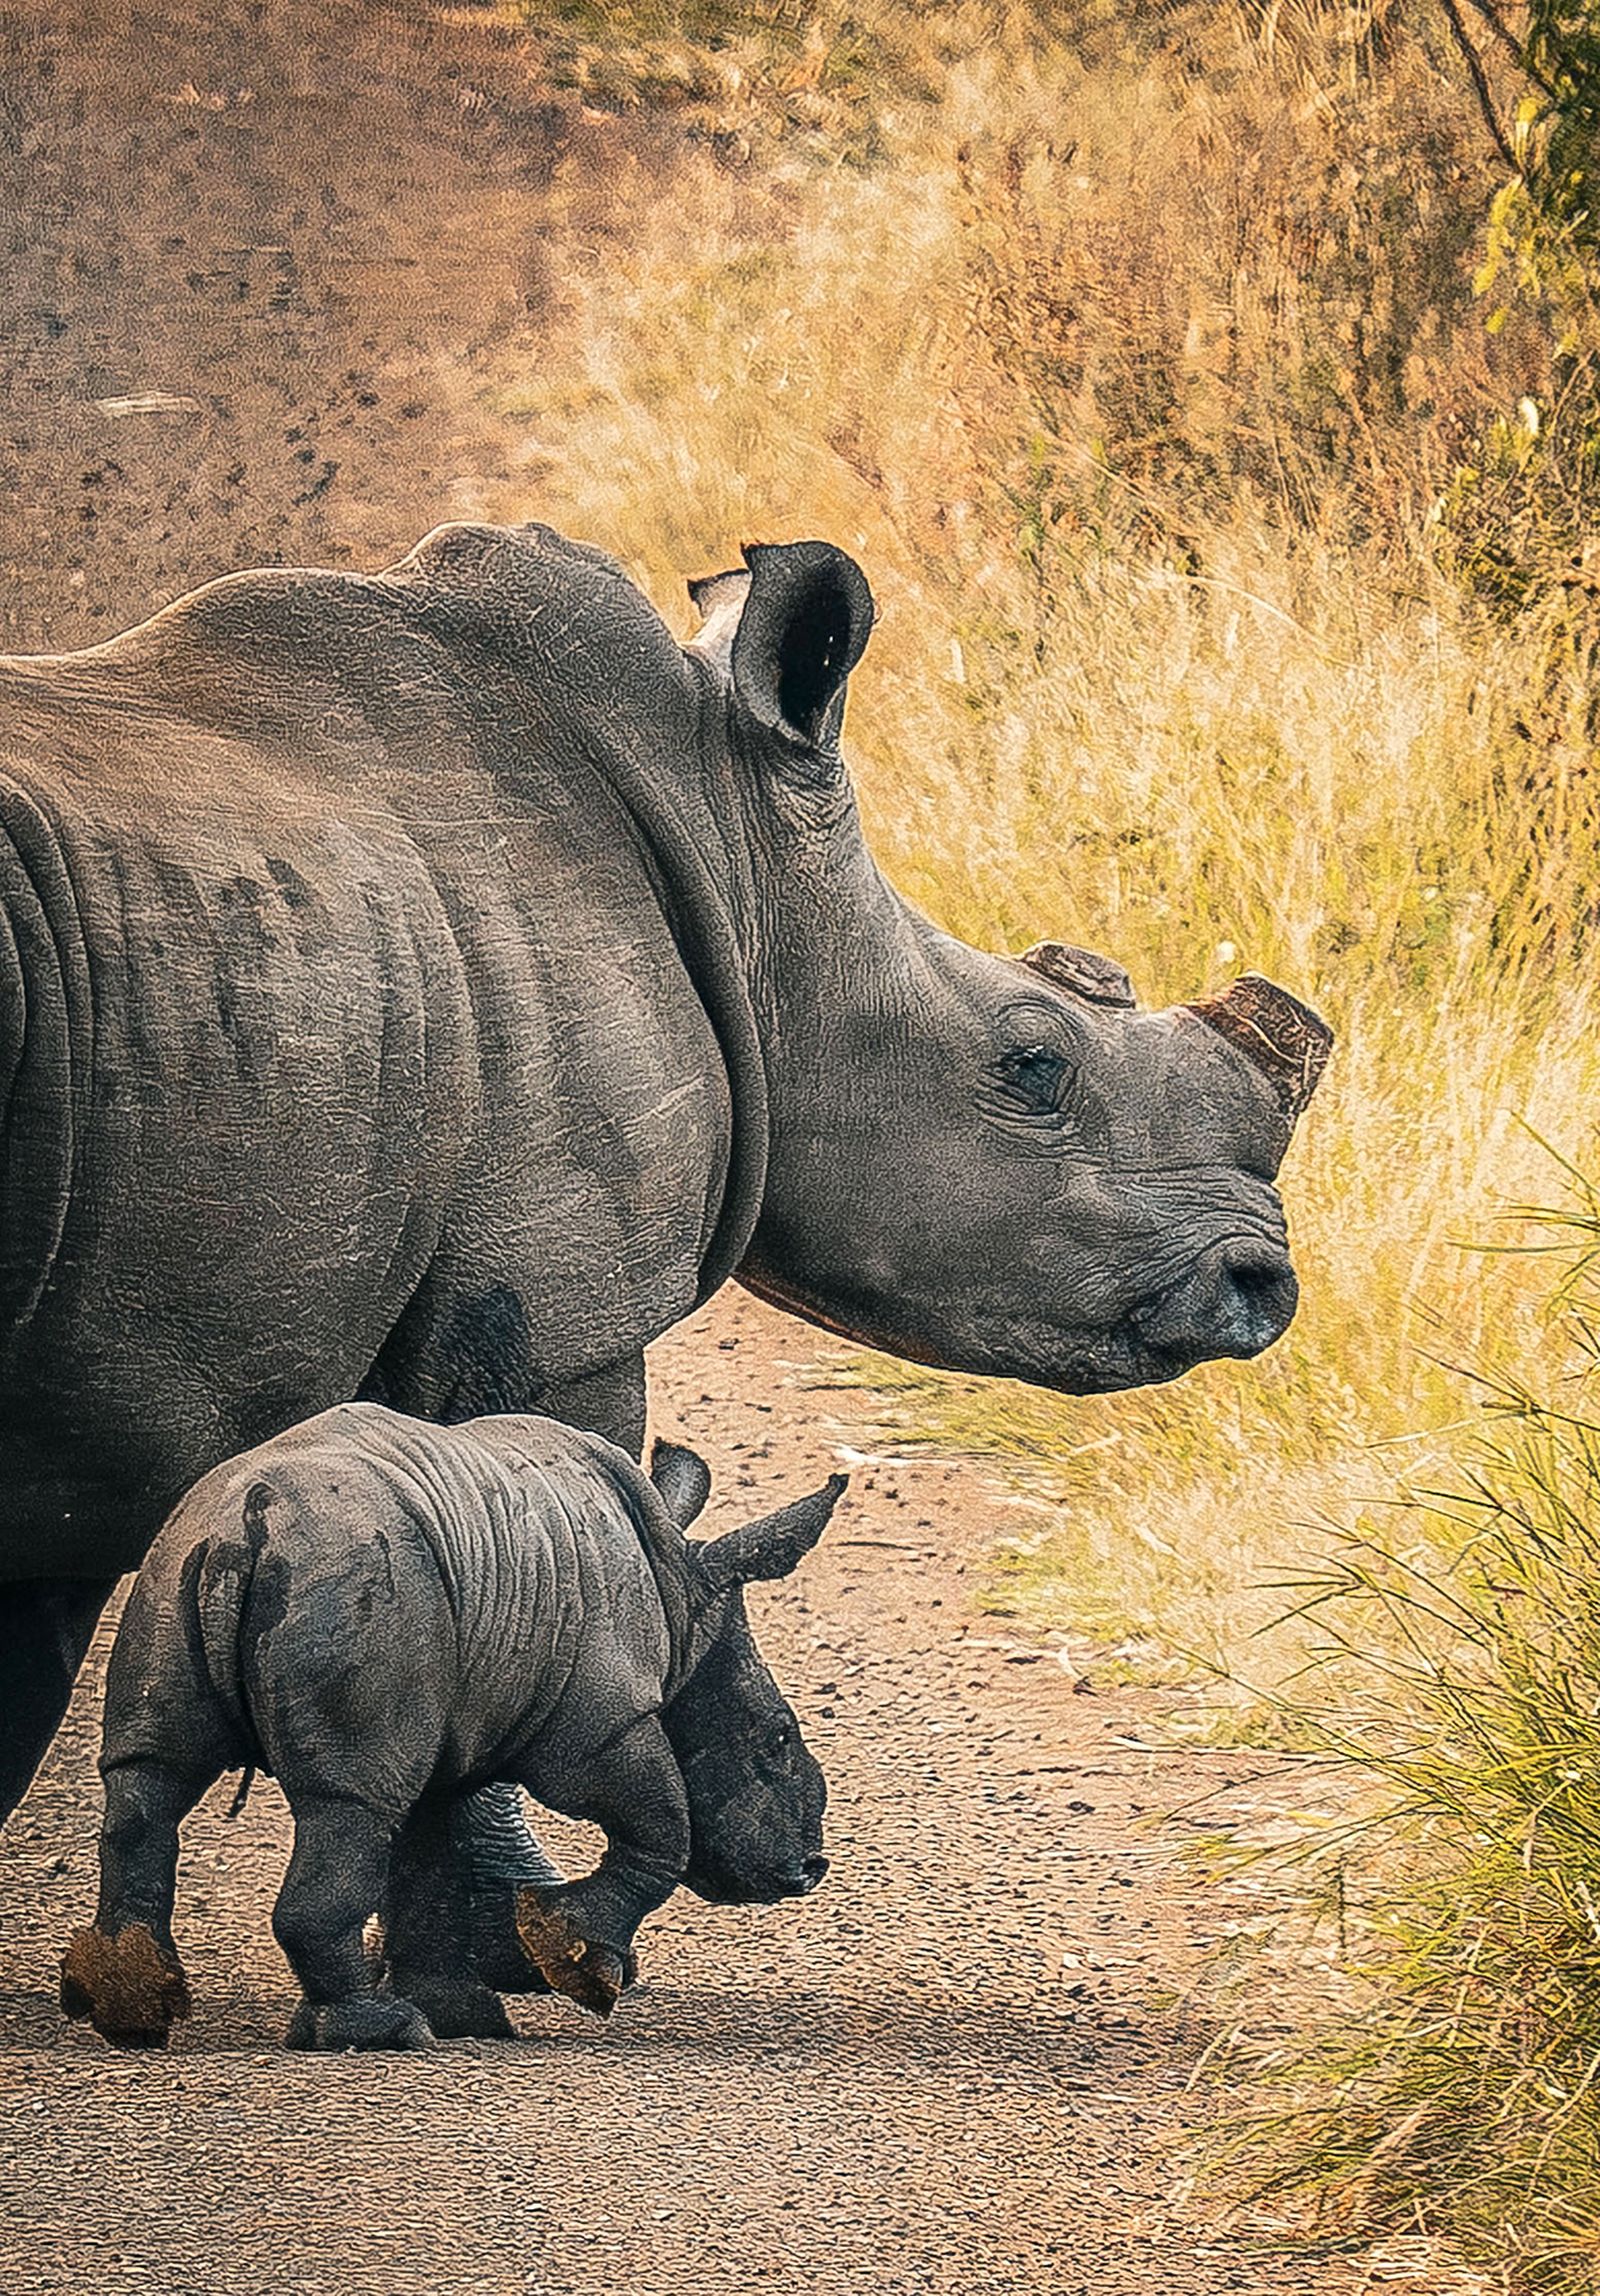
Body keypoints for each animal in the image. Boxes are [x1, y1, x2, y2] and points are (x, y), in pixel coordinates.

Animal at [0, 518, 1329, 1905]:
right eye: (1034, 1066)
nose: (1260, 1278)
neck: (735, 849)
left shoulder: (88, 1398)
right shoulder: (547, 1308)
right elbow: (528, 1580)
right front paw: (506, 1923)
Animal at [61, 1406, 842, 2050]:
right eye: (776, 1739)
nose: (809, 1867)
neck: (685, 1606)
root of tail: (249, 1526)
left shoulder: (450, 1725)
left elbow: (432, 1851)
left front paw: (464, 2017)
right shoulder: (602, 1722)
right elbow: (662, 1828)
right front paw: (578, 1964)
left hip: (177, 1566)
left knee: (150, 1779)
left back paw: (125, 2011)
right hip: (361, 1587)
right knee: (352, 1808)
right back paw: (376, 2034)